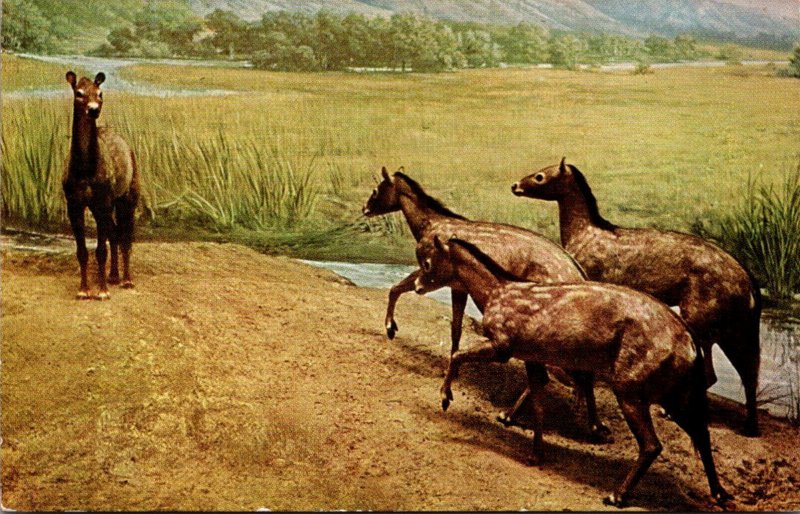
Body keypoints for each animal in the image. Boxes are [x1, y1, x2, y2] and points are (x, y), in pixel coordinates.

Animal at [63, 71, 140, 299]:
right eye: (78, 93)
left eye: (100, 93)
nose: (94, 109)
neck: (85, 168)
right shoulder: (75, 204)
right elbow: (82, 251)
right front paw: (84, 290)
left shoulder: (103, 201)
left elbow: (101, 250)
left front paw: (103, 292)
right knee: (114, 233)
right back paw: (113, 276)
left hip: (128, 197)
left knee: (125, 237)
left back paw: (126, 279)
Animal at [363, 167, 610, 441]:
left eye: (376, 189)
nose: (365, 208)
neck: (428, 224)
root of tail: (579, 274)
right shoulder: (458, 287)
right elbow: (456, 329)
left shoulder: (433, 275)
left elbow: (397, 288)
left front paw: (390, 328)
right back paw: (593, 425)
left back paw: (514, 416)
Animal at [426, 236, 730, 507]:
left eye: (429, 262)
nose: (417, 282)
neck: (495, 292)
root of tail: (690, 342)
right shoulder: (531, 357)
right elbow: (539, 403)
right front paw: (536, 454)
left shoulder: (503, 346)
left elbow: (457, 354)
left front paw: (445, 398)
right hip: (675, 392)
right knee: (701, 432)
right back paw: (719, 493)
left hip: (632, 387)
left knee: (653, 443)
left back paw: (616, 495)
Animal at [512, 158, 762, 436]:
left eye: (540, 177)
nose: (515, 186)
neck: (586, 231)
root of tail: (749, 282)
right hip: (734, 331)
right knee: (747, 374)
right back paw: (750, 427)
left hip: (705, 324)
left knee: (716, 375)